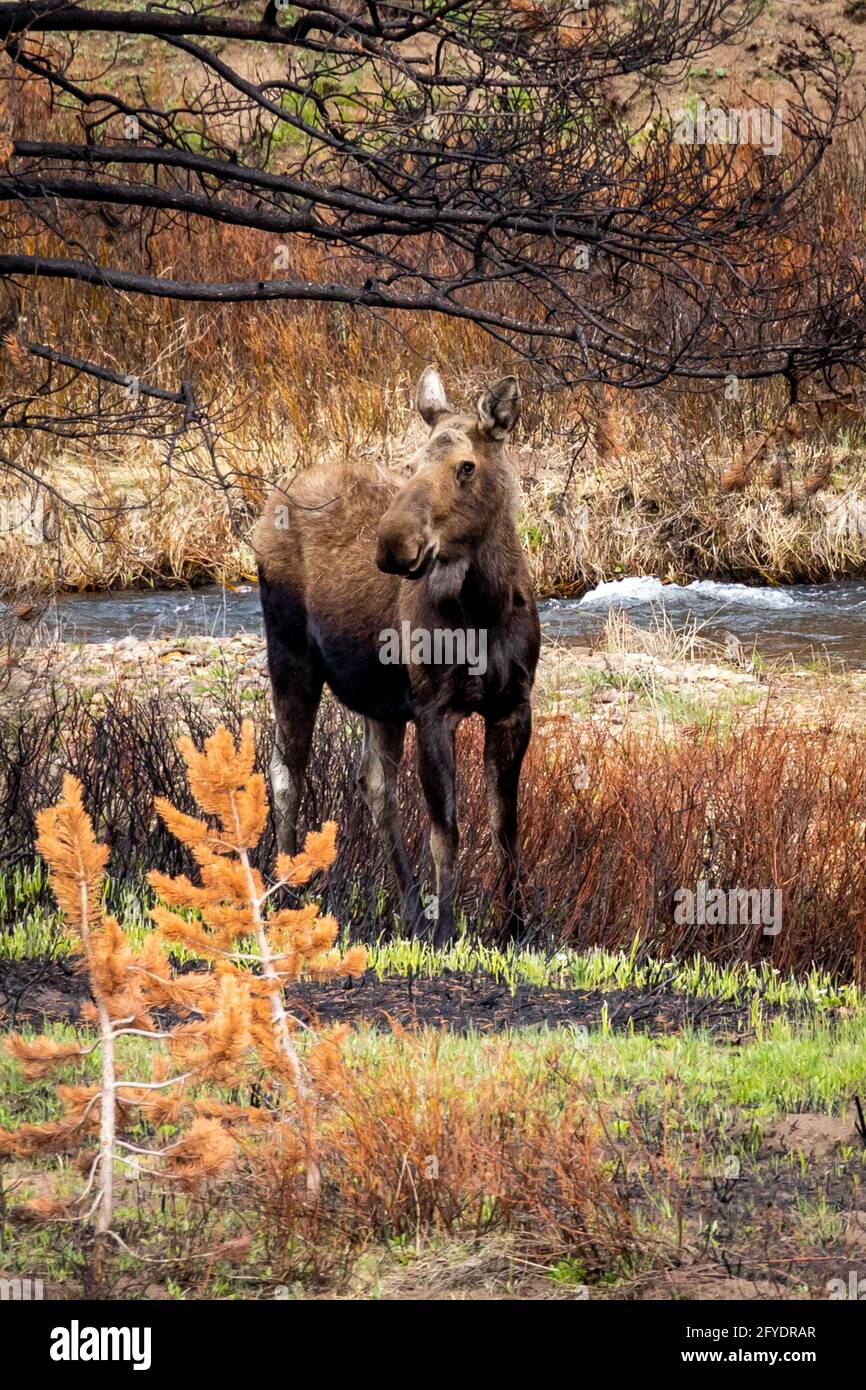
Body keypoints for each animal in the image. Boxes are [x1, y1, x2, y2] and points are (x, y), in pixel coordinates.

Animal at [252, 366, 540, 947]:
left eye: (466, 466)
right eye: (410, 465)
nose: (393, 544)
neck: (488, 608)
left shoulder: (514, 704)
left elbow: (506, 828)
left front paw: (515, 928)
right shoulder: (434, 707)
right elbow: (446, 830)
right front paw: (448, 929)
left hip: (379, 699)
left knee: (374, 786)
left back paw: (408, 910)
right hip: (290, 657)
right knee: (287, 772)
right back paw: (286, 896)